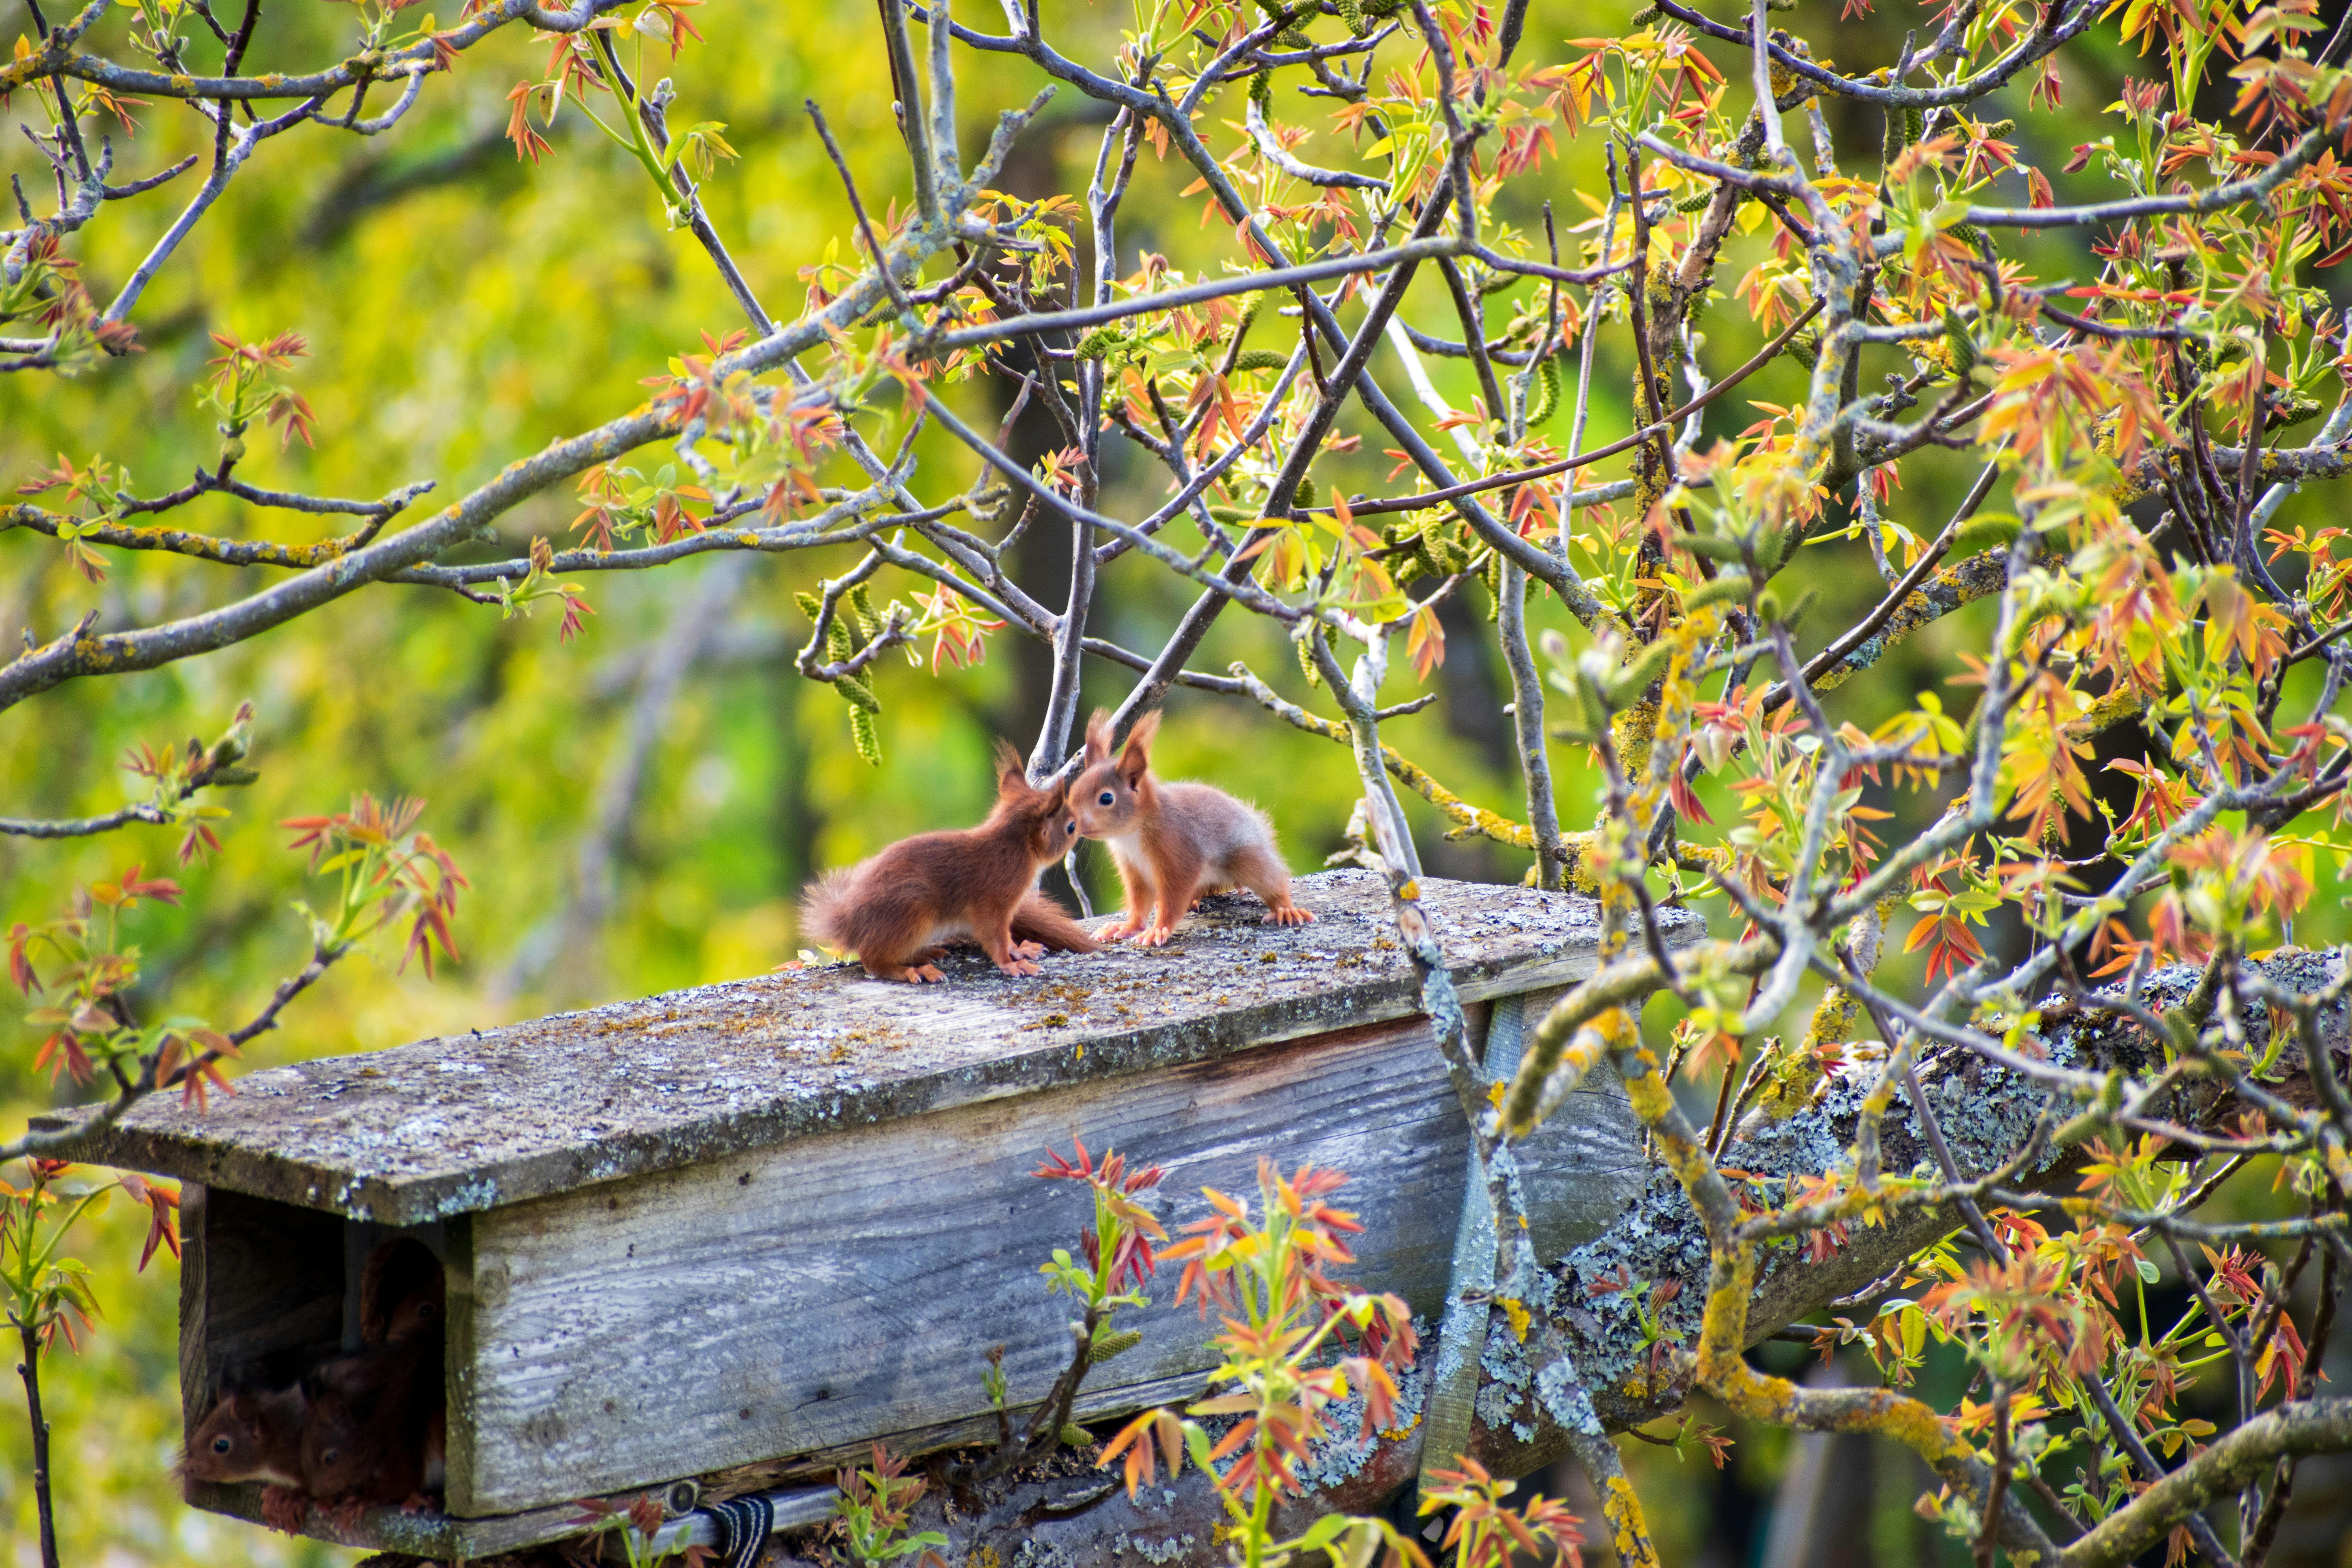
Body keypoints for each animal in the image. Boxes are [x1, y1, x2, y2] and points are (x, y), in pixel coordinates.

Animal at [801, 741, 1100, 982]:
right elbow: (996, 938)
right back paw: (913, 971)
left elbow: (1006, 939)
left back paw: (923, 954)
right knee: (873, 962)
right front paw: (1011, 965)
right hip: (912, 911)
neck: (1014, 847)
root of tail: (850, 921)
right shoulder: (991, 904)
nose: (1087, 829)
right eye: (1071, 827)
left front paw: (1021, 950)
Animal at [1069, 709, 1313, 945]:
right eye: (1073, 789)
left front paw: (1157, 931)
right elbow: (1139, 903)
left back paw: (1285, 910)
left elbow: (1174, 897)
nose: (1072, 825)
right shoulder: (1133, 867)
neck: (1132, 834)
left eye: (1107, 798)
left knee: (1271, 882)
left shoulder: (1179, 851)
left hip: (1249, 858)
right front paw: (1127, 927)